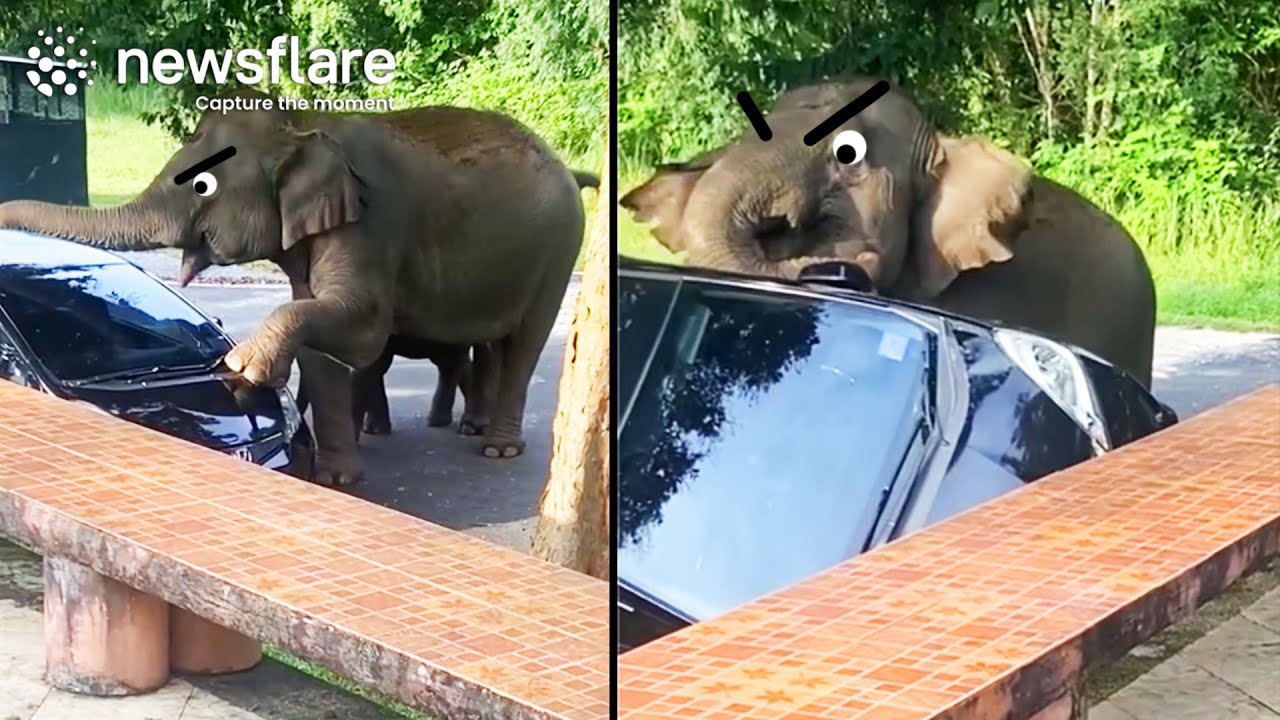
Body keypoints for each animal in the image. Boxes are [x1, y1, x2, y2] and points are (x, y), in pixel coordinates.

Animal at [0, 87, 595, 484]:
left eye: (202, 184)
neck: (305, 121)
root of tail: (568, 167)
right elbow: (319, 328)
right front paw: (338, 481)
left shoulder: (372, 224)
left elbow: (363, 327)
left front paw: (244, 365)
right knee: (493, 342)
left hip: (562, 245)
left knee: (525, 341)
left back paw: (498, 450)